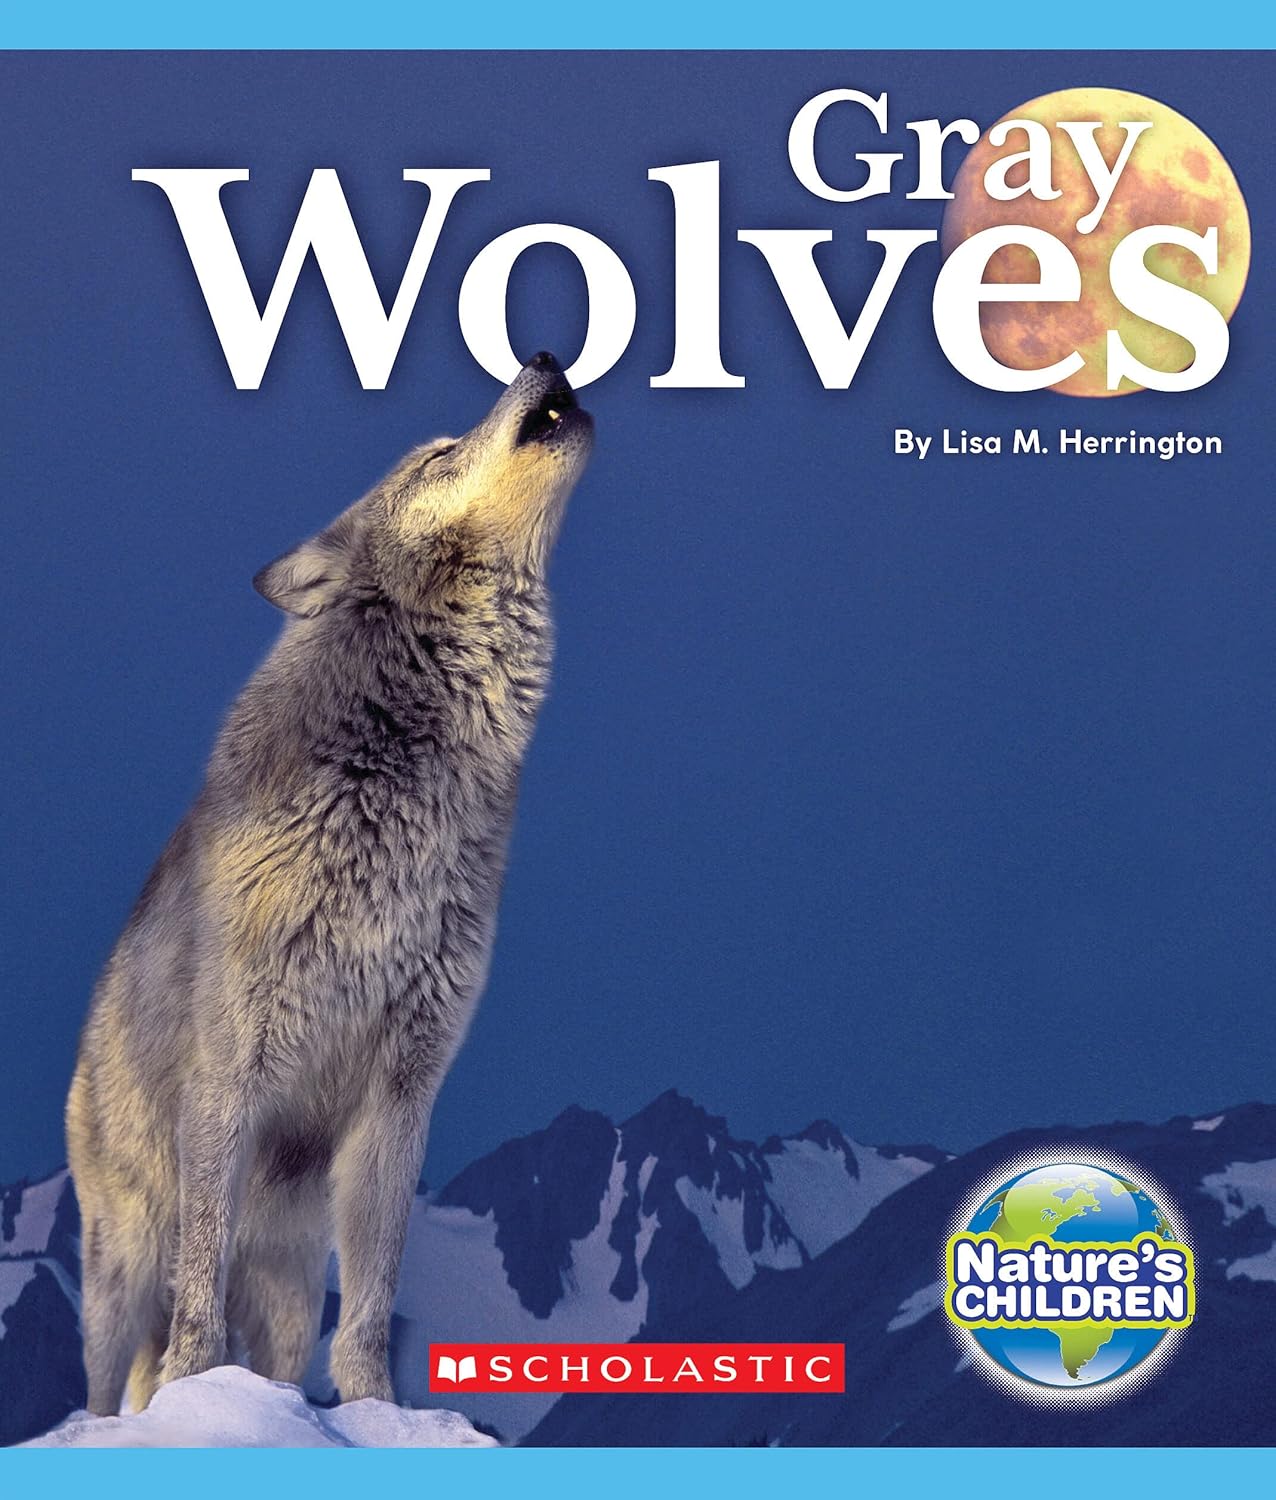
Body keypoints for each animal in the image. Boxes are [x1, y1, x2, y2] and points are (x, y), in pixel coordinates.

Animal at [66, 352, 592, 1415]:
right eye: (437, 452)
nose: (546, 359)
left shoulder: (404, 1089)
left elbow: (376, 1294)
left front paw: (375, 1412)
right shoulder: (230, 1075)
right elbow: (200, 1289)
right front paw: (198, 1389)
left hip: (291, 1285)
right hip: (121, 1274)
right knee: (109, 1381)